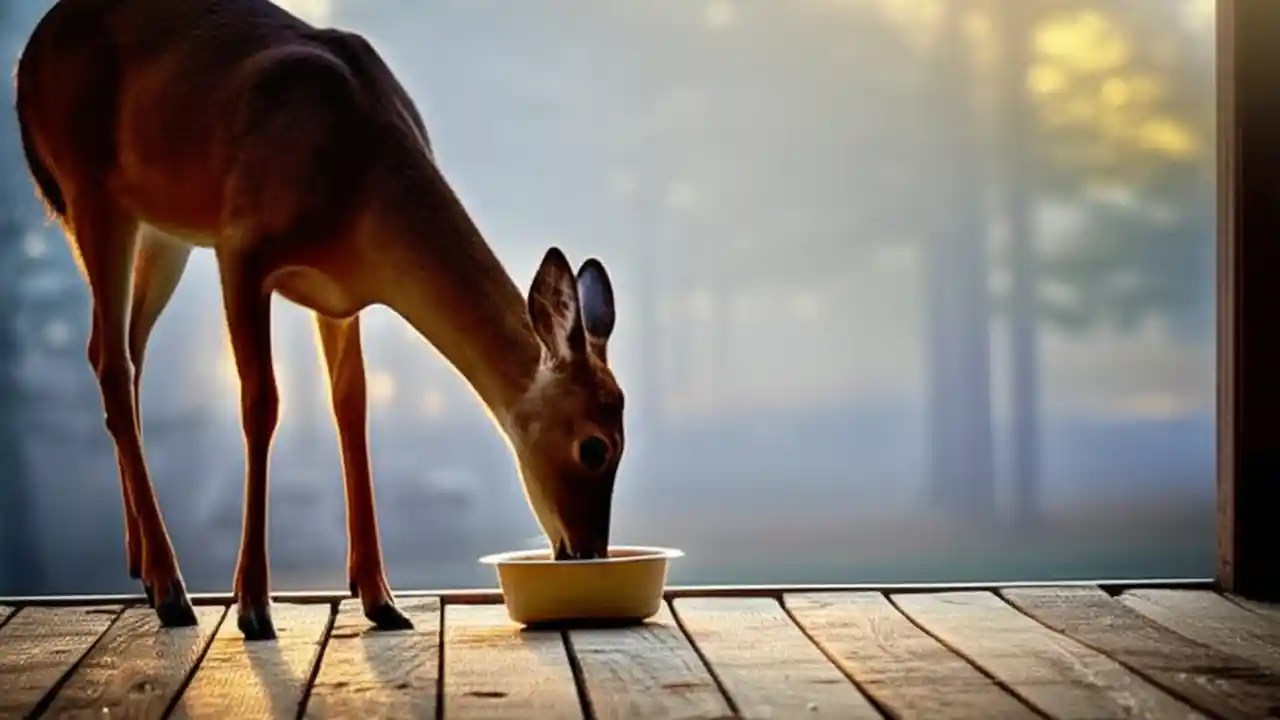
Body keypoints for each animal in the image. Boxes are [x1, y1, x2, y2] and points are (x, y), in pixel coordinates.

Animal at [15, 0, 625, 640]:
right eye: (595, 448)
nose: (587, 550)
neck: (356, 184)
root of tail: (30, 55)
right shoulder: (242, 246)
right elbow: (261, 403)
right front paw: (254, 606)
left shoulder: (339, 297)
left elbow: (351, 407)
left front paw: (381, 598)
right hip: (88, 191)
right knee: (111, 359)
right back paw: (171, 589)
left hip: (162, 230)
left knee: (121, 353)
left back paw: (142, 564)